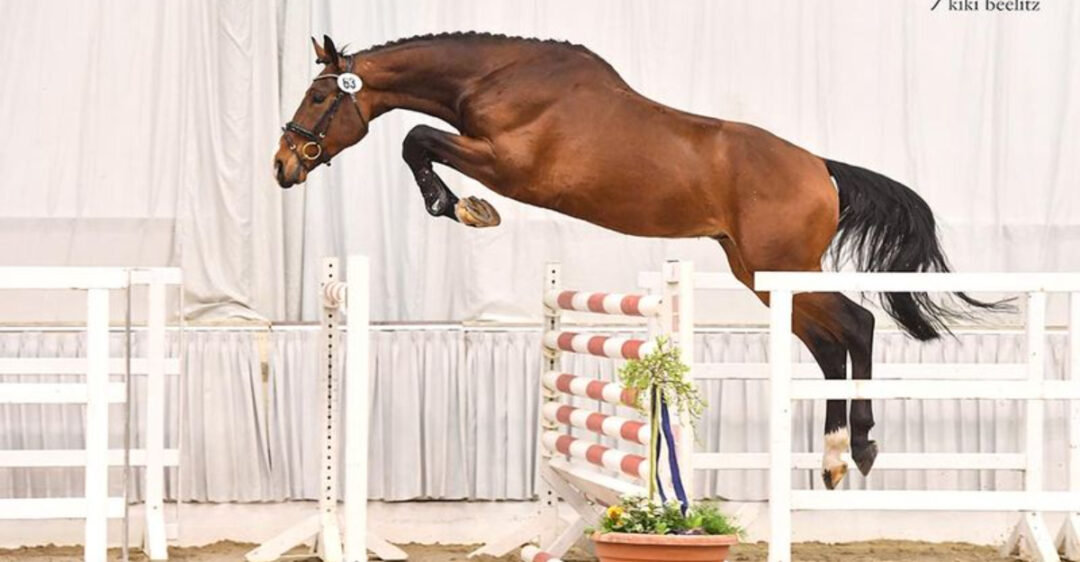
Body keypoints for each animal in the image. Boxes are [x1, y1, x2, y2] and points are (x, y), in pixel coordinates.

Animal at [273, 33, 998, 489]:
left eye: (319, 98)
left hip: (783, 266)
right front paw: (461, 206)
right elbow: (418, 139)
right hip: (758, 274)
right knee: (828, 343)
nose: (282, 165)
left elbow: (417, 138)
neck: (498, 78)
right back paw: (833, 458)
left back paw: (863, 448)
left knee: (857, 325)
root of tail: (820, 169)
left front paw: (461, 208)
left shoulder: (509, 166)